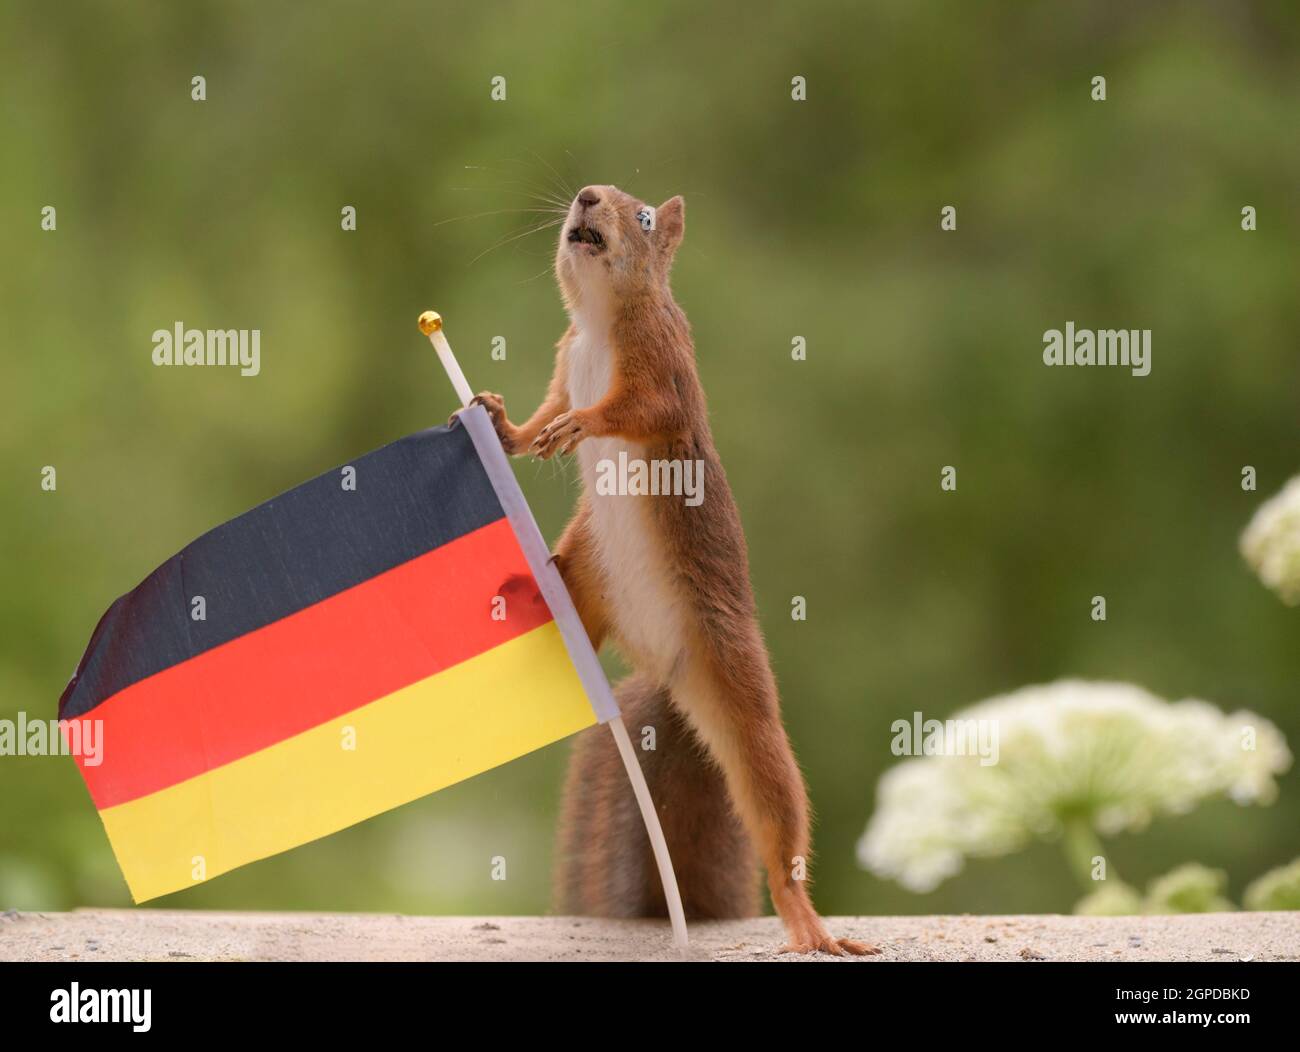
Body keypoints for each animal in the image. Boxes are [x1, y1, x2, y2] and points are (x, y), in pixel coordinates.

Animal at [469, 184, 876, 955]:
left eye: (645, 216)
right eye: (590, 190)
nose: (586, 198)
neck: (598, 323)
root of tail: (661, 670)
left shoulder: (665, 361)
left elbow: (640, 409)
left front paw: (586, 425)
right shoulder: (564, 365)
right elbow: (541, 421)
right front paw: (502, 425)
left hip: (740, 692)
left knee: (775, 808)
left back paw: (807, 922)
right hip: (589, 567)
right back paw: (532, 595)